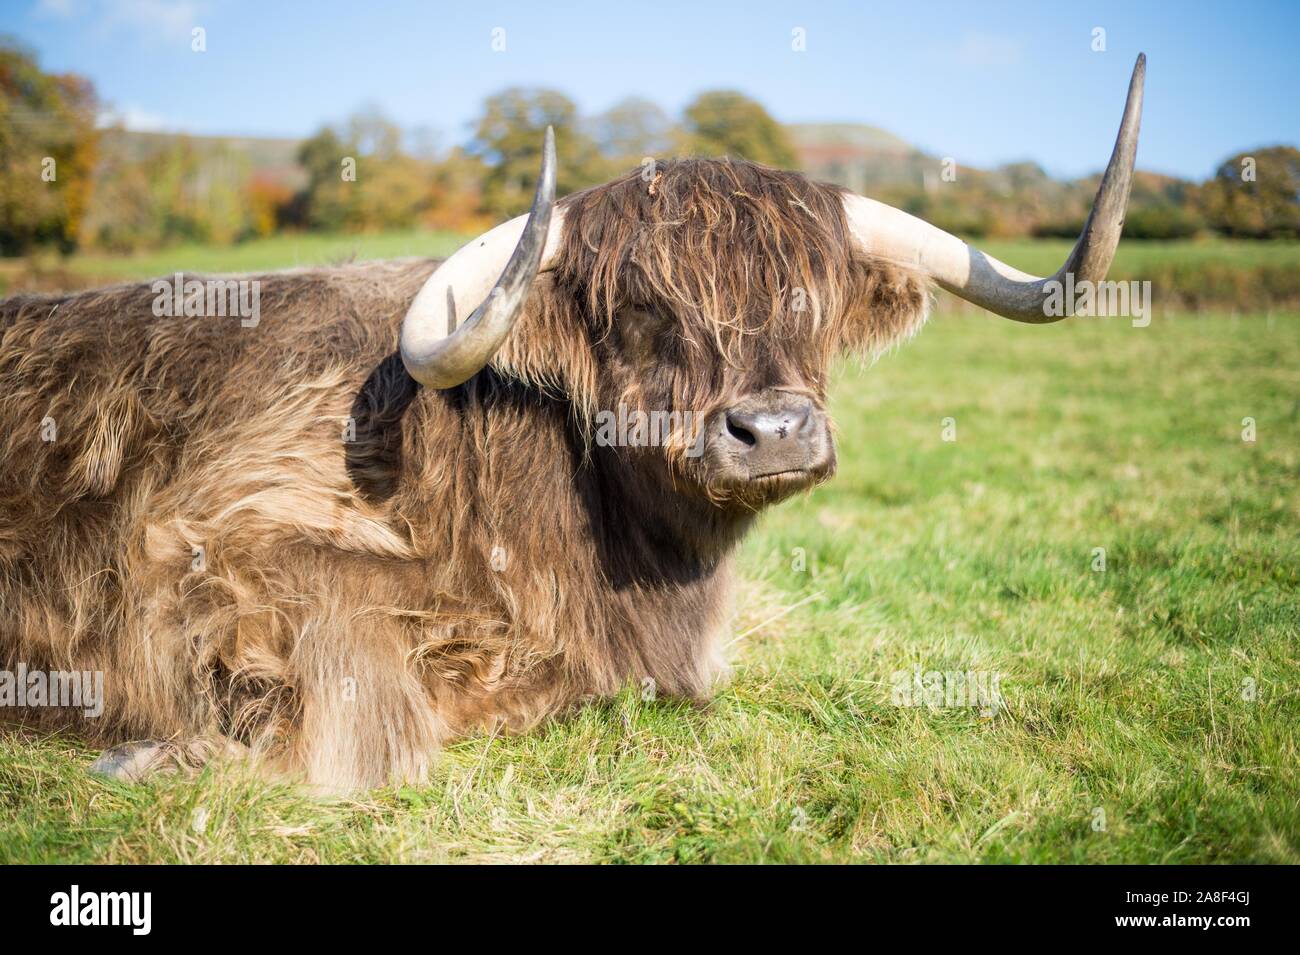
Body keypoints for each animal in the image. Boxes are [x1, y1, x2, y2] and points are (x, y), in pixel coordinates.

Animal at [0, 58, 1144, 792]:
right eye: (639, 307)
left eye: (810, 299)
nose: (773, 430)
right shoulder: (209, 536)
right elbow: (380, 711)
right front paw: (157, 753)